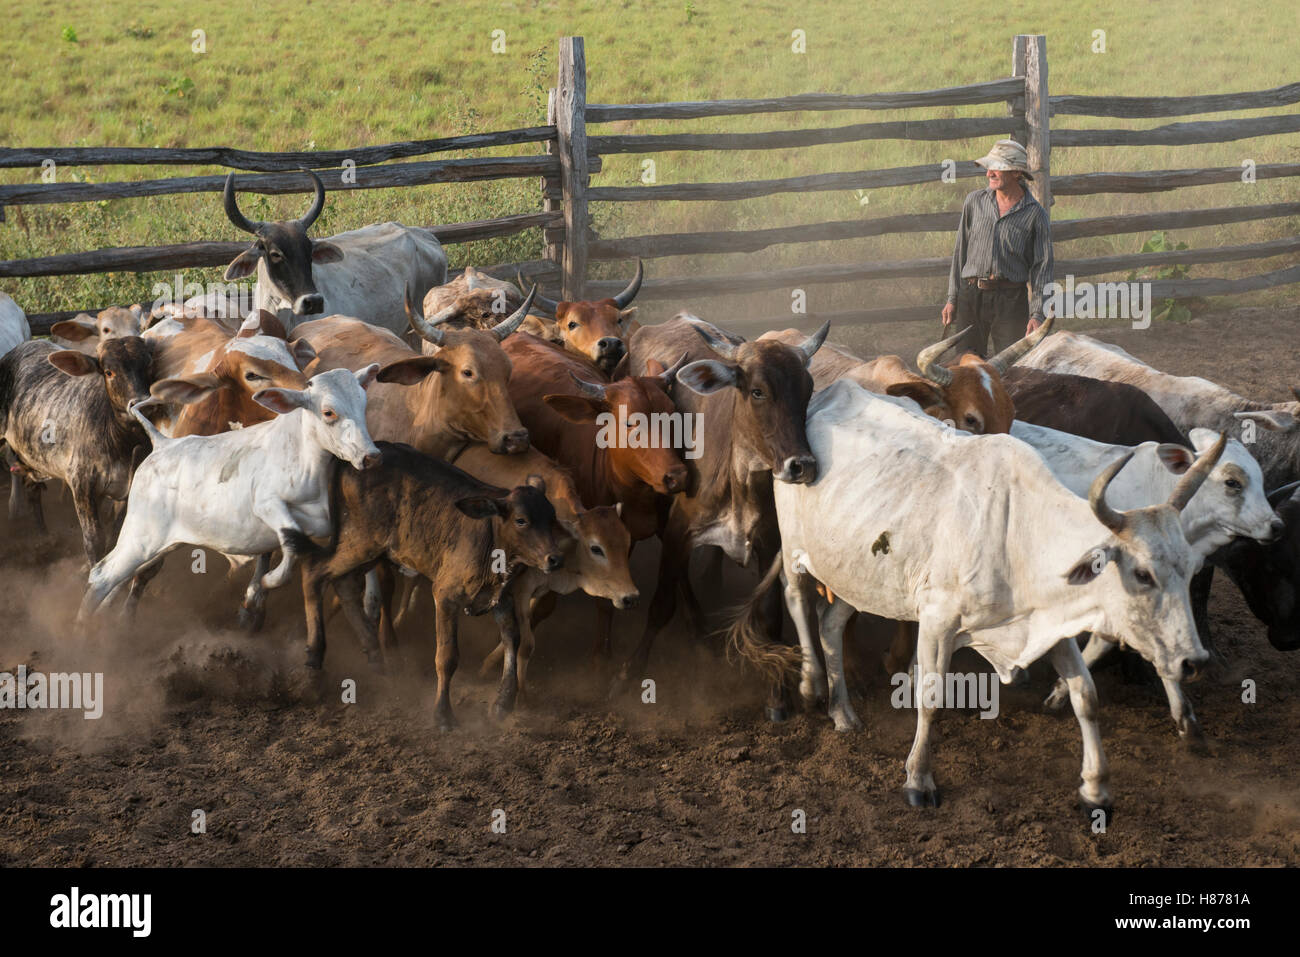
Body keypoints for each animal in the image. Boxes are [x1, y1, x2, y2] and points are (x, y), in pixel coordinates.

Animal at [0, 338, 153, 564]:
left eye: (149, 365)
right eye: (109, 372)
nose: (141, 403)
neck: (121, 442)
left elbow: (114, 536)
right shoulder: (82, 485)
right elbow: (94, 540)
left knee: (32, 490)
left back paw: (44, 537)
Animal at [77, 366, 382, 624]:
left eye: (363, 403)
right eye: (329, 412)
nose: (371, 456)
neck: (307, 457)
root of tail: (162, 445)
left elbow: (369, 552)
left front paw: (371, 602)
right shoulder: (267, 504)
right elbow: (293, 543)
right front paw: (266, 583)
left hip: (159, 546)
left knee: (122, 577)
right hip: (140, 538)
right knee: (102, 576)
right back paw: (84, 632)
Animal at [295, 441, 564, 730]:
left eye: (551, 518)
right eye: (521, 520)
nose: (554, 559)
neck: (491, 541)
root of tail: (357, 459)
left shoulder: (501, 598)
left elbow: (512, 639)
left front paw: (503, 703)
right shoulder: (445, 595)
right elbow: (447, 656)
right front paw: (443, 715)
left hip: (372, 552)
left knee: (344, 584)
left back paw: (376, 656)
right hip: (359, 541)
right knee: (313, 571)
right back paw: (313, 660)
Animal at [609, 315, 829, 718]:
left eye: (807, 389)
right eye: (757, 391)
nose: (802, 465)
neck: (737, 481)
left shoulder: (768, 543)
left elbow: (769, 617)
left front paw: (777, 695)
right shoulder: (678, 531)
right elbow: (661, 606)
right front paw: (628, 675)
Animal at [726, 380, 1217, 817]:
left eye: (1189, 568)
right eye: (1142, 573)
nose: (1194, 662)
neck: (1017, 531)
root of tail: (826, 394)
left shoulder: (1050, 625)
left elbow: (1086, 697)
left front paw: (1095, 790)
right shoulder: (938, 621)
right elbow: (929, 699)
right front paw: (918, 780)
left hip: (863, 573)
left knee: (831, 623)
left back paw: (842, 712)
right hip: (796, 550)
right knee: (797, 601)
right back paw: (811, 684)